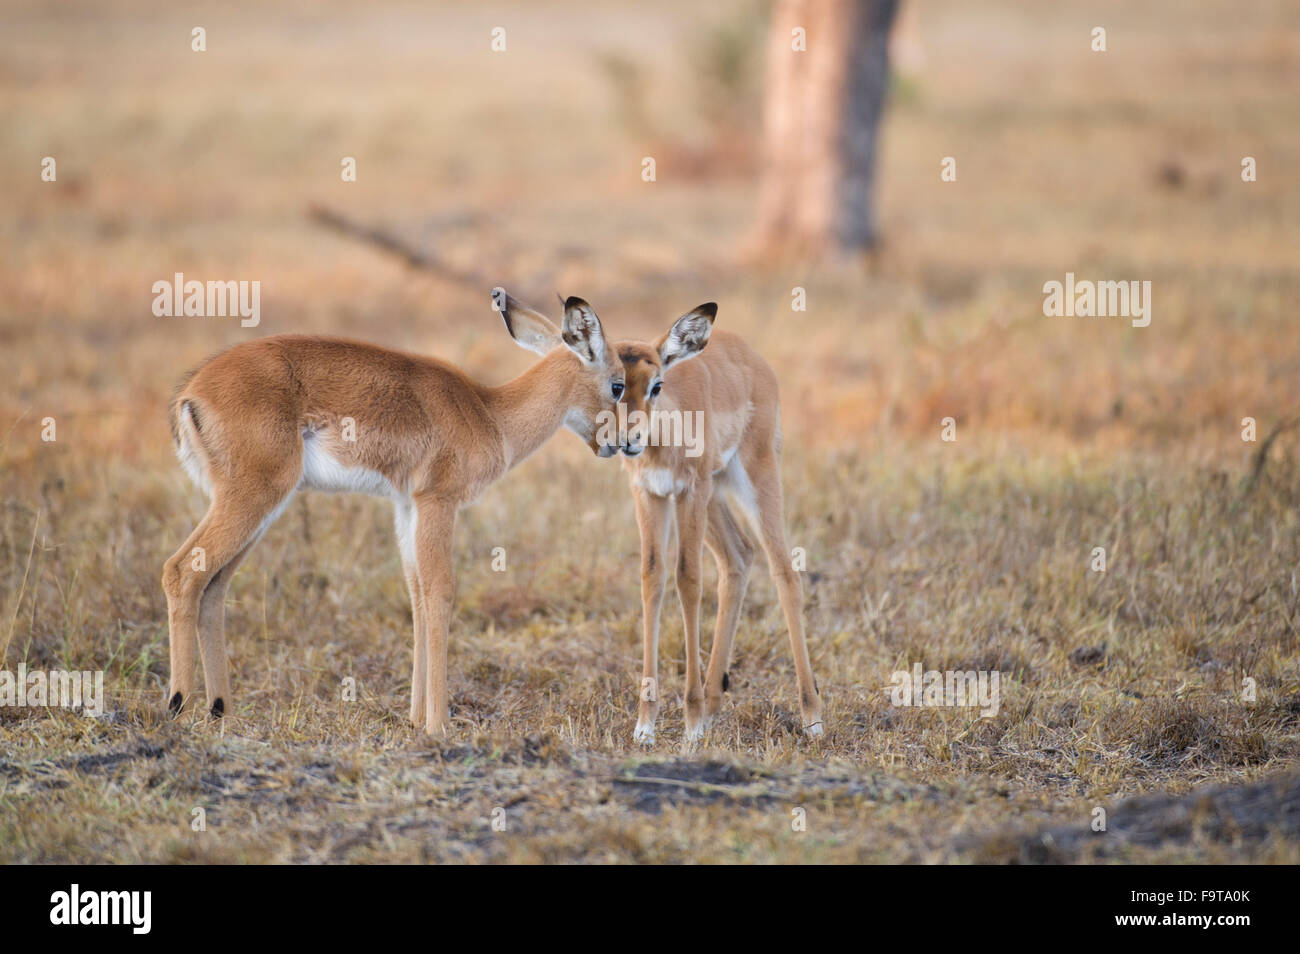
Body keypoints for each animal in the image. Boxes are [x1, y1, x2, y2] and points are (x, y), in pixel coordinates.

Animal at [162, 289, 630, 736]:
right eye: (618, 384)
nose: (623, 443)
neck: (489, 415)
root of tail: (191, 394)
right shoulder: (438, 500)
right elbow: (440, 591)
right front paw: (440, 725)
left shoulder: (408, 504)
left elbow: (417, 592)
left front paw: (416, 720)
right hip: (253, 496)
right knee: (181, 570)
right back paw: (178, 706)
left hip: (260, 508)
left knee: (213, 585)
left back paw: (221, 711)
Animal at [606, 303, 822, 743]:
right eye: (615, 386)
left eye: (656, 384)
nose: (629, 439)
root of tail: (753, 357)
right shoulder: (649, 494)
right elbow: (652, 578)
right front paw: (645, 726)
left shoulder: (690, 491)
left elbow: (688, 579)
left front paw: (689, 725)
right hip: (716, 497)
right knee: (739, 557)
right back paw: (713, 702)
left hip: (752, 480)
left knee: (785, 572)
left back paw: (812, 717)